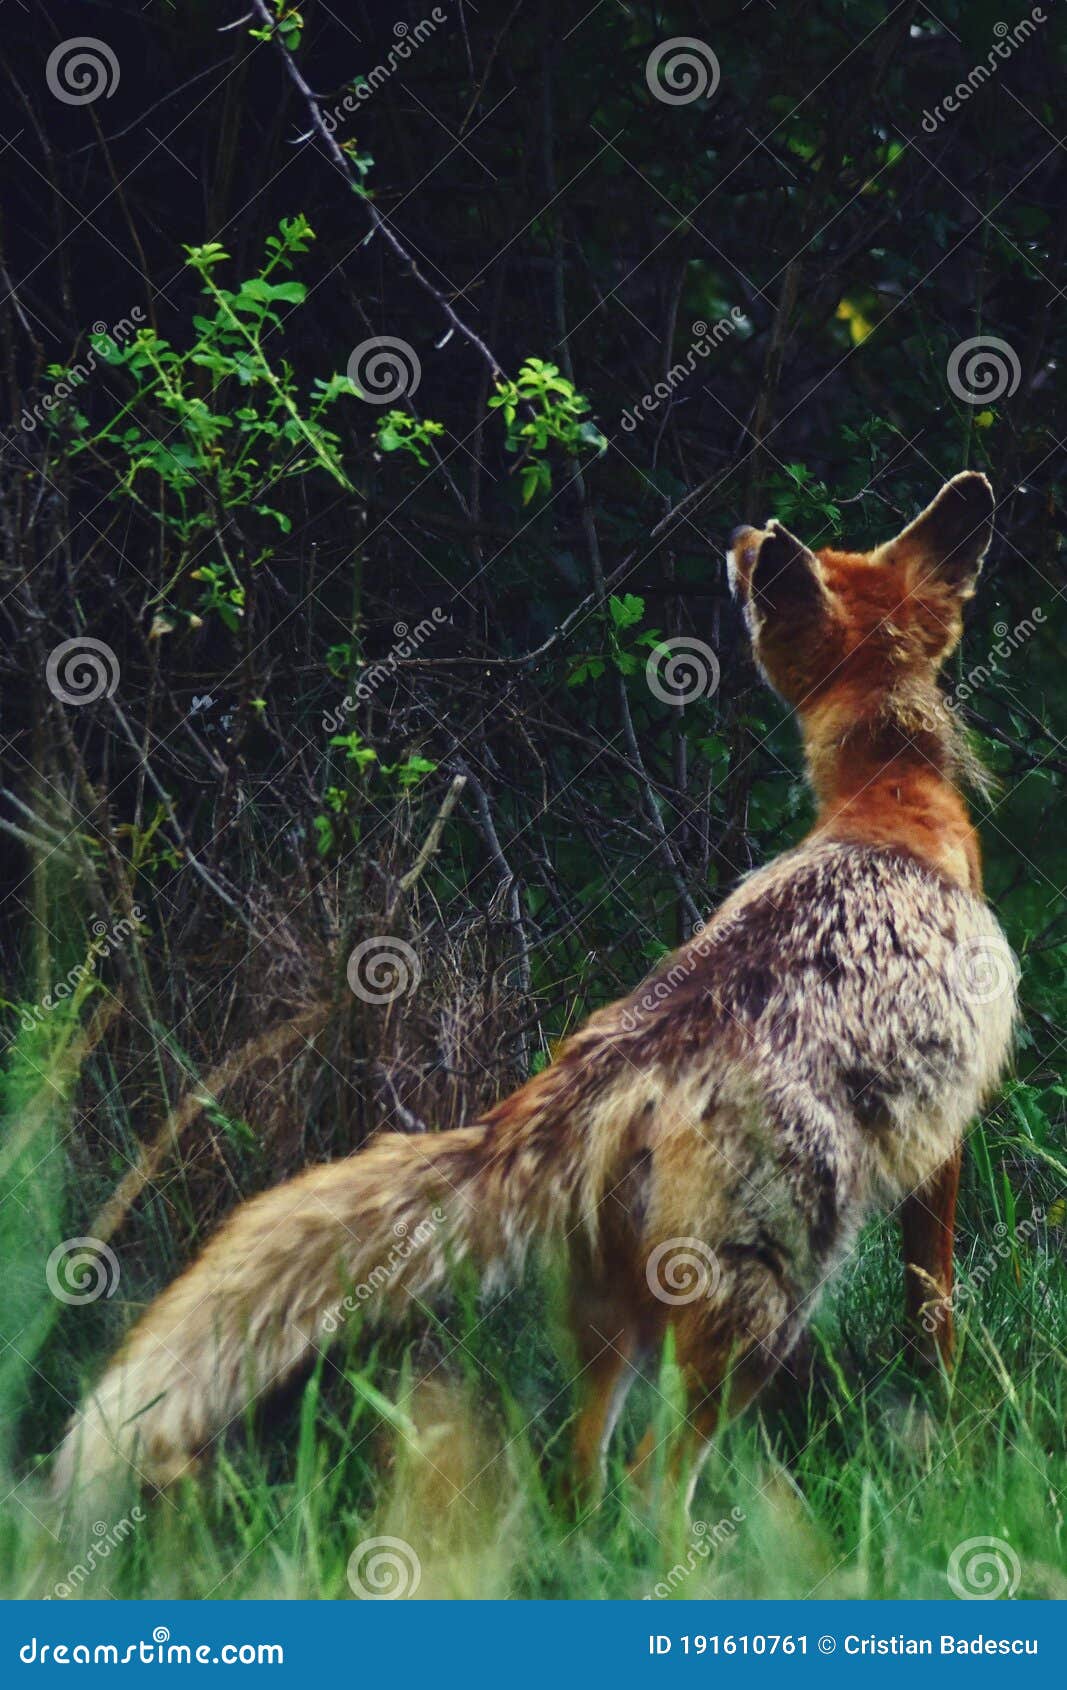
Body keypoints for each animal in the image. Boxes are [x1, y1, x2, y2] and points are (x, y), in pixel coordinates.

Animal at [55, 470, 1016, 1506]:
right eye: (763, 552)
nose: (737, 530)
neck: (890, 811)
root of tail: (611, 1074)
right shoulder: (946, 1145)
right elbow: (934, 1310)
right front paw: (949, 1414)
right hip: (751, 1320)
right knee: (649, 1484)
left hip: (613, 1329)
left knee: (577, 1484)